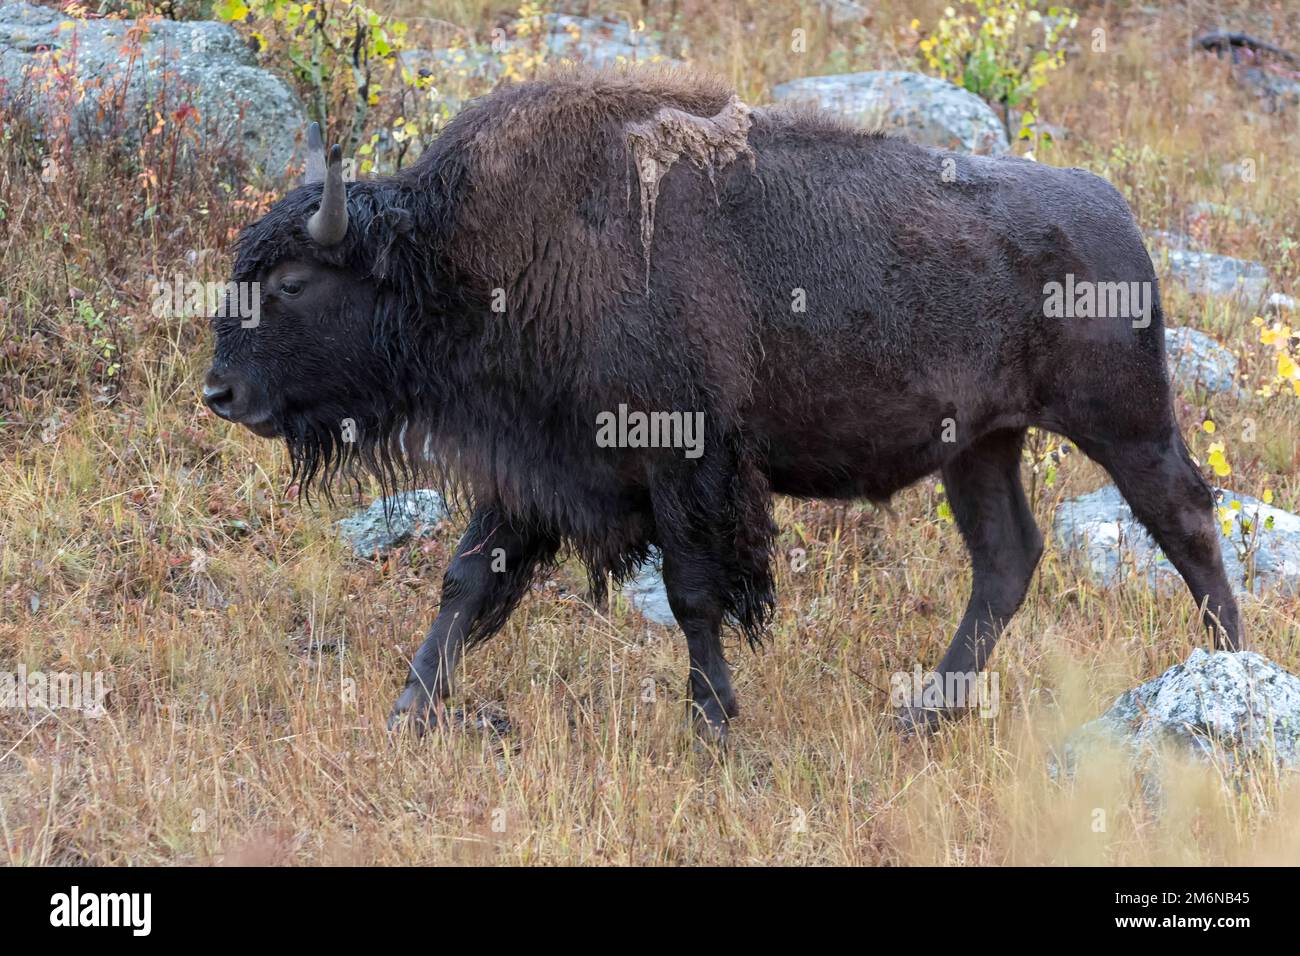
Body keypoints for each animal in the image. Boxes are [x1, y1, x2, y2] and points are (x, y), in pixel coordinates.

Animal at [204, 68, 1241, 740]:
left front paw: (711, 725)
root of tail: (1117, 212)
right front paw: (408, 712)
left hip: (1124, 423)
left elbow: (694, 594)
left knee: (1185, 518)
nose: (221, 391)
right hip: (982, 446)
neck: (469, 255)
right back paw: (921, 718)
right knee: (1006, 559)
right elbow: (467, 582)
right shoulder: (534, 470)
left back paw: (1225, 665)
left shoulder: (684, 465)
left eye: (292, 282)